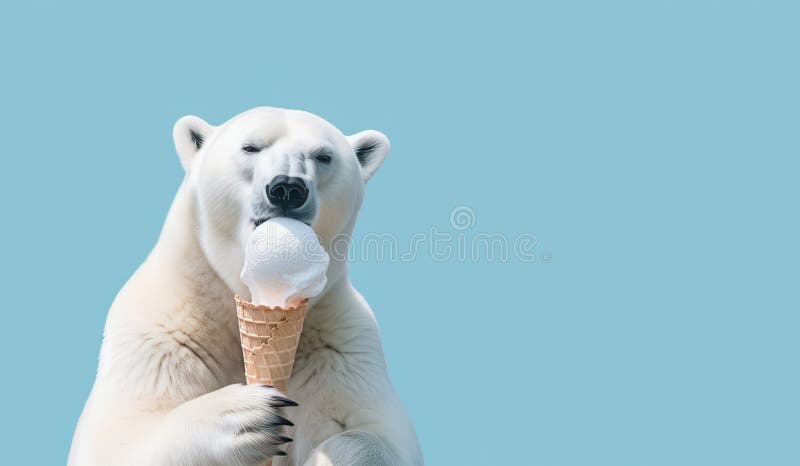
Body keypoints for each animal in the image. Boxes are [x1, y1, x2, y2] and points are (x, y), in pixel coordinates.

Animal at [67, 107, 423, 466]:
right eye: (251, 147)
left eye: (324, 156)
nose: (287, 188)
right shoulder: (160, 336)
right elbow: (116, 440)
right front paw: (247, 414)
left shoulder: (338, 350)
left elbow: (370, 428)